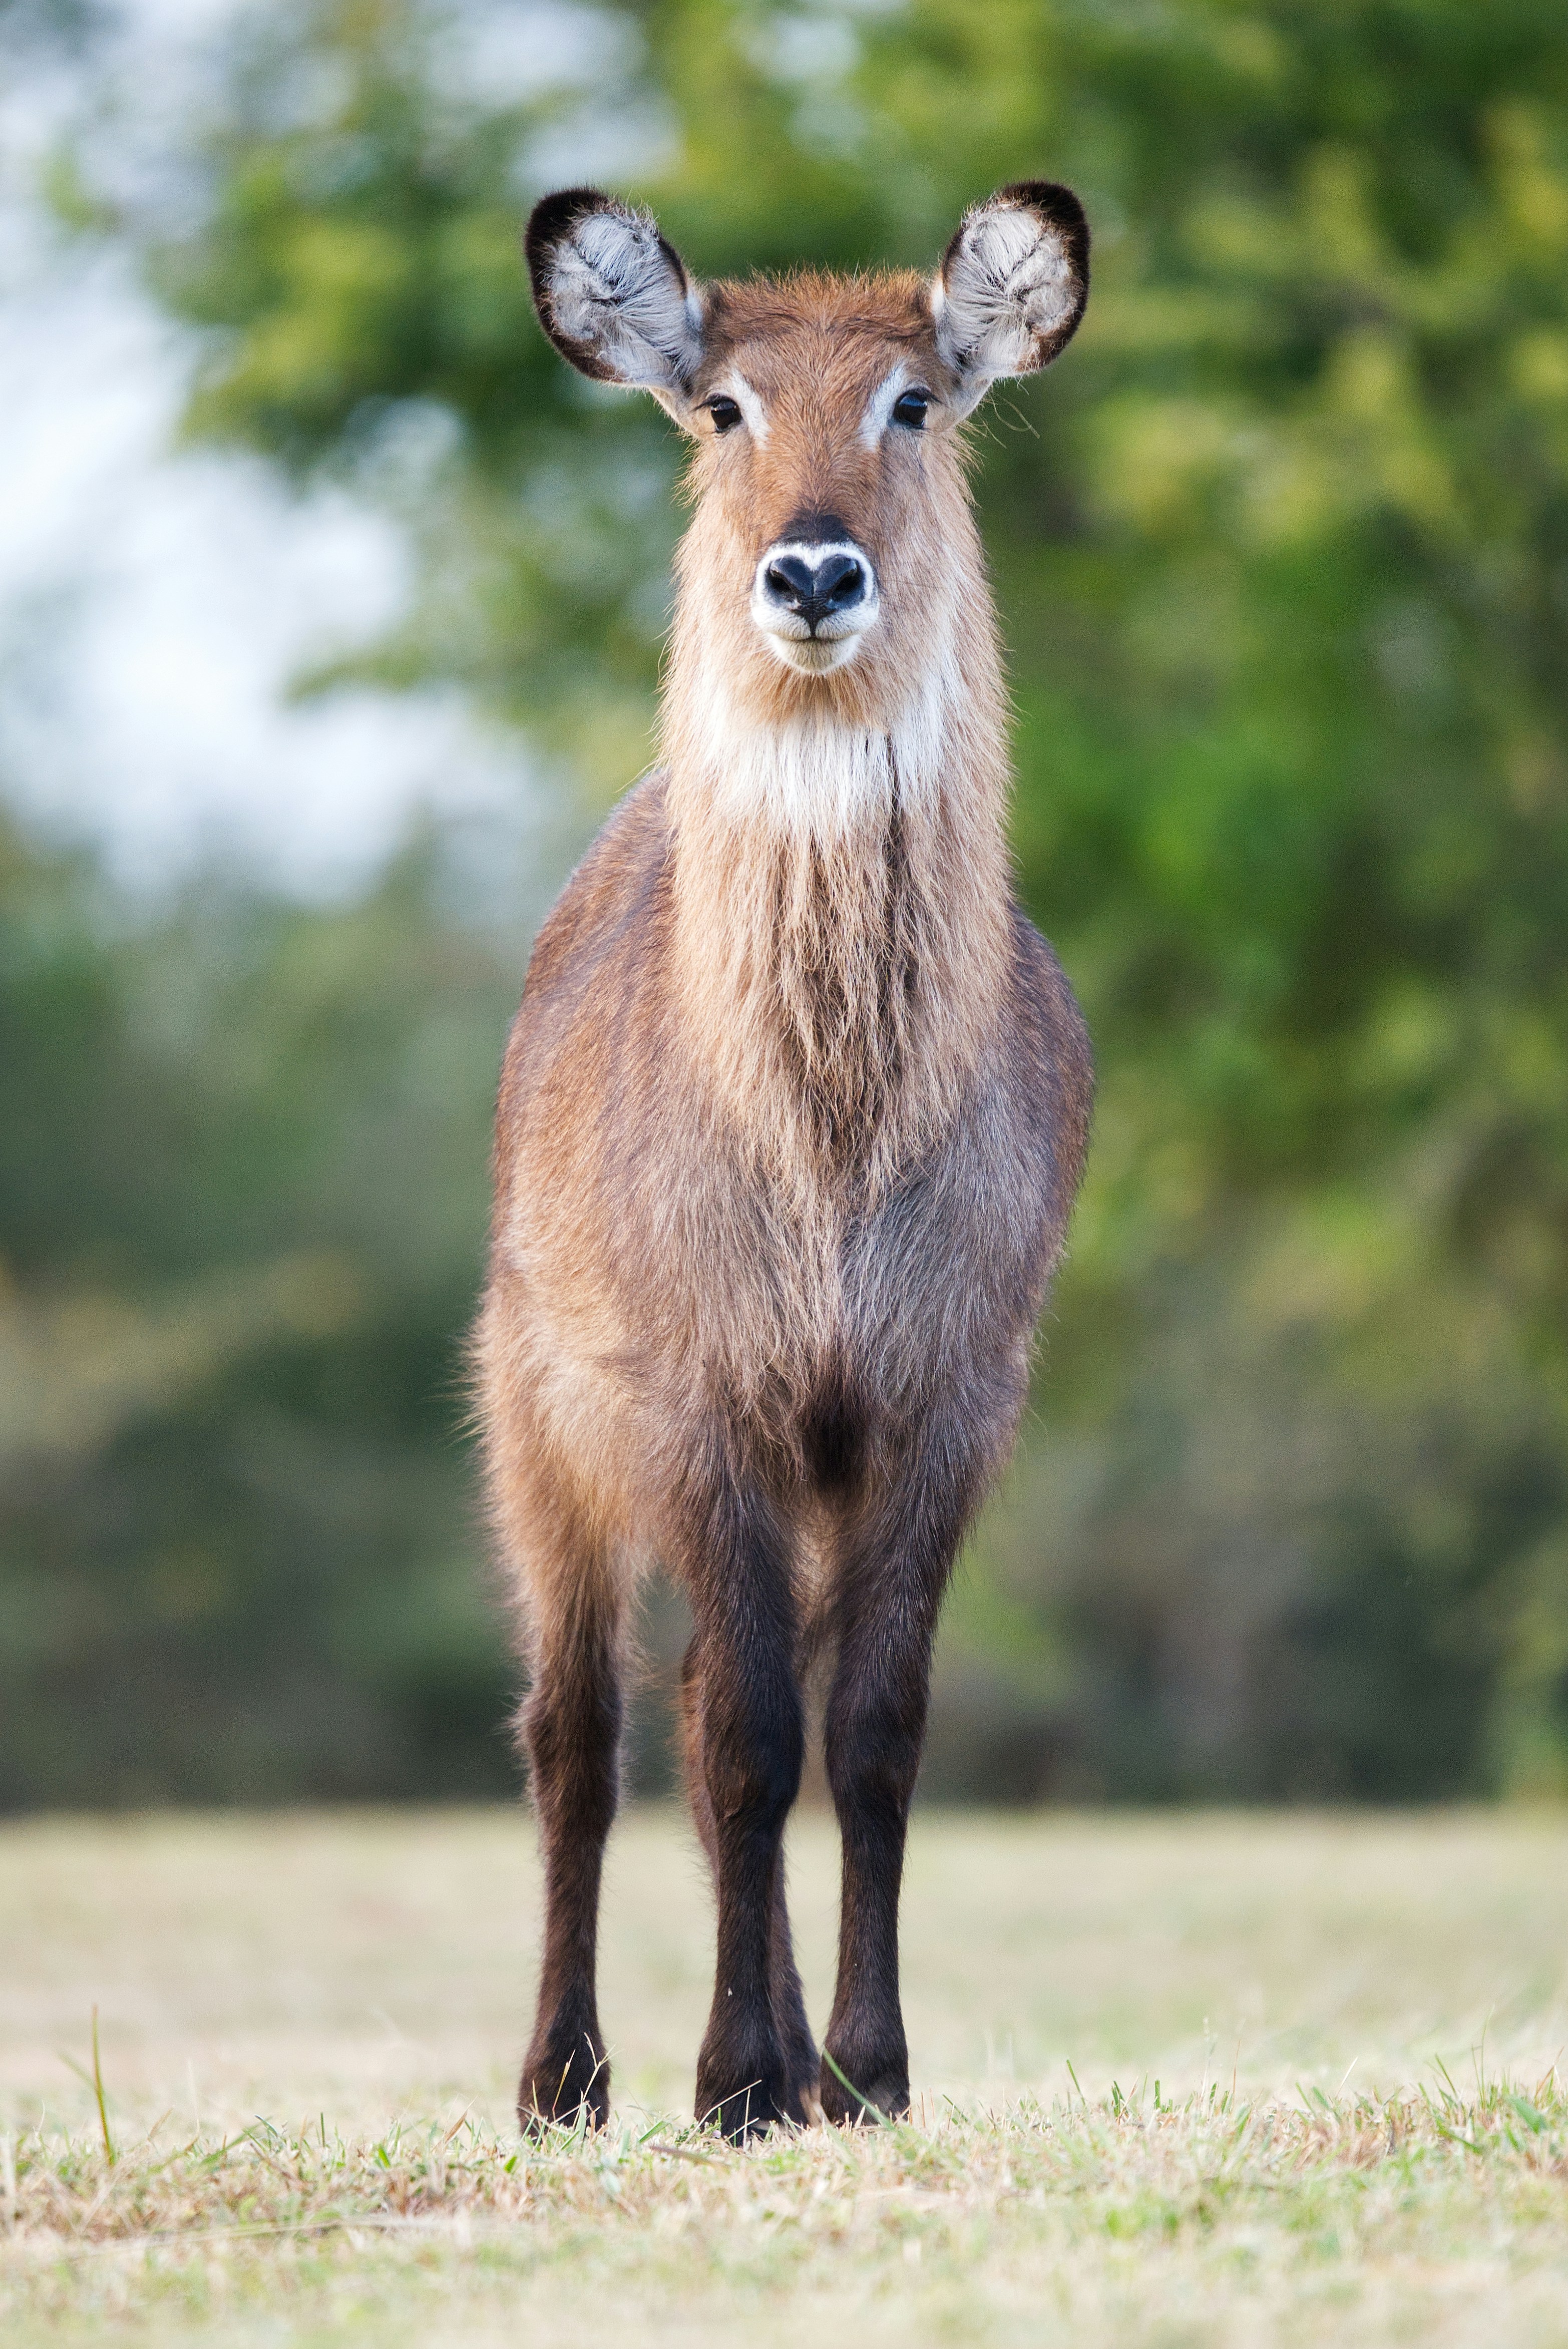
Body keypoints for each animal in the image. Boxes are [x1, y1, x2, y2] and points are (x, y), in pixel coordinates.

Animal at [476, 180, 1092, 2141]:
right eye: (724, 407)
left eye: (915, 400)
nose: (814, 574)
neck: (824, 1132)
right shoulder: (699, 1391)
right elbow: (739, 1740)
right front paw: (740, 2079)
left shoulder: (943, 1393)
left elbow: (871, 1730)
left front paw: (865, 2070)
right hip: (534, 1417)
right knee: (584, 1727)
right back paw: (567, 2075)